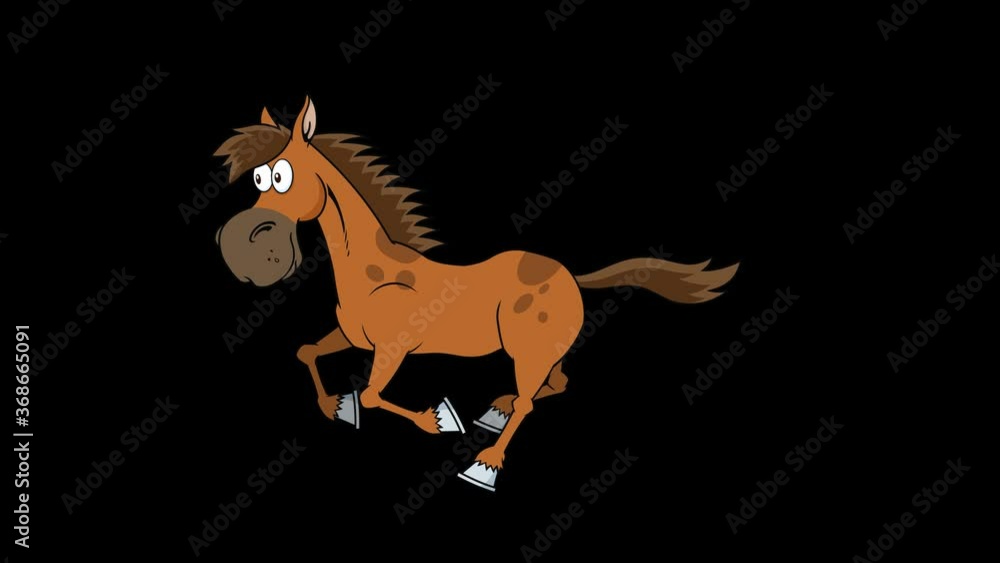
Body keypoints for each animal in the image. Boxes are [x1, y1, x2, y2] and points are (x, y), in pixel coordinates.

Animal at [214, 97, 739, 491]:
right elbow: (307, 352)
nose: (240, 252)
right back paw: (496, 409)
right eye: (258, 178)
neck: (373, 272)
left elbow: (376, 394)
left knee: (532, 401)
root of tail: (570, 274)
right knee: (556, 382)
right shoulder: (353, 337)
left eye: (280, 177)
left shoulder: (393, 349)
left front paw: (439, 420)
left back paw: (485, 463)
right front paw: (338, 408)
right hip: (537, 349)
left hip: (528, 350)